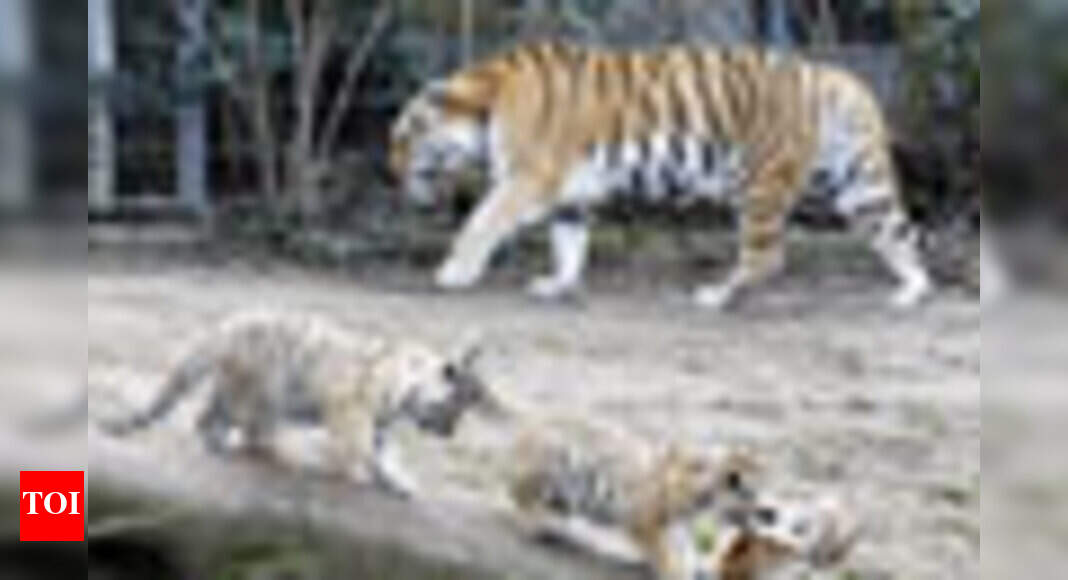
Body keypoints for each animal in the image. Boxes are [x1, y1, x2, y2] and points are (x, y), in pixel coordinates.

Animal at [98, 310, 496, 498]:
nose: (450, 433)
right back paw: (271, 452)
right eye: (452, 407)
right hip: (261, 394)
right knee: (248, 428)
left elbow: (383, 454)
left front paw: (399, 483)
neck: (399, 401)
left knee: (206, 416)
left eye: (463, 411)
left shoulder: (381, 426)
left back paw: (222, 442)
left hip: (232, 391)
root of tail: (223, 327)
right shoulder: (350, 412)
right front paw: (356, 471)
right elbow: (360, 448)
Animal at [389, 41, 933, 309]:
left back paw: (715, 295)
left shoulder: (527, 179)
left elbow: (480, 222)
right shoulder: (571, 195)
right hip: (857, 185)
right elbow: (569, 245)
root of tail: (834, 76)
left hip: (759, 183)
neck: (487, 102)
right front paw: (558, 286)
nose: (390, 172)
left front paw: (454, 273)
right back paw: (911, 291)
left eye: (405, 136)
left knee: (766, 257)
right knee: (898, 233)